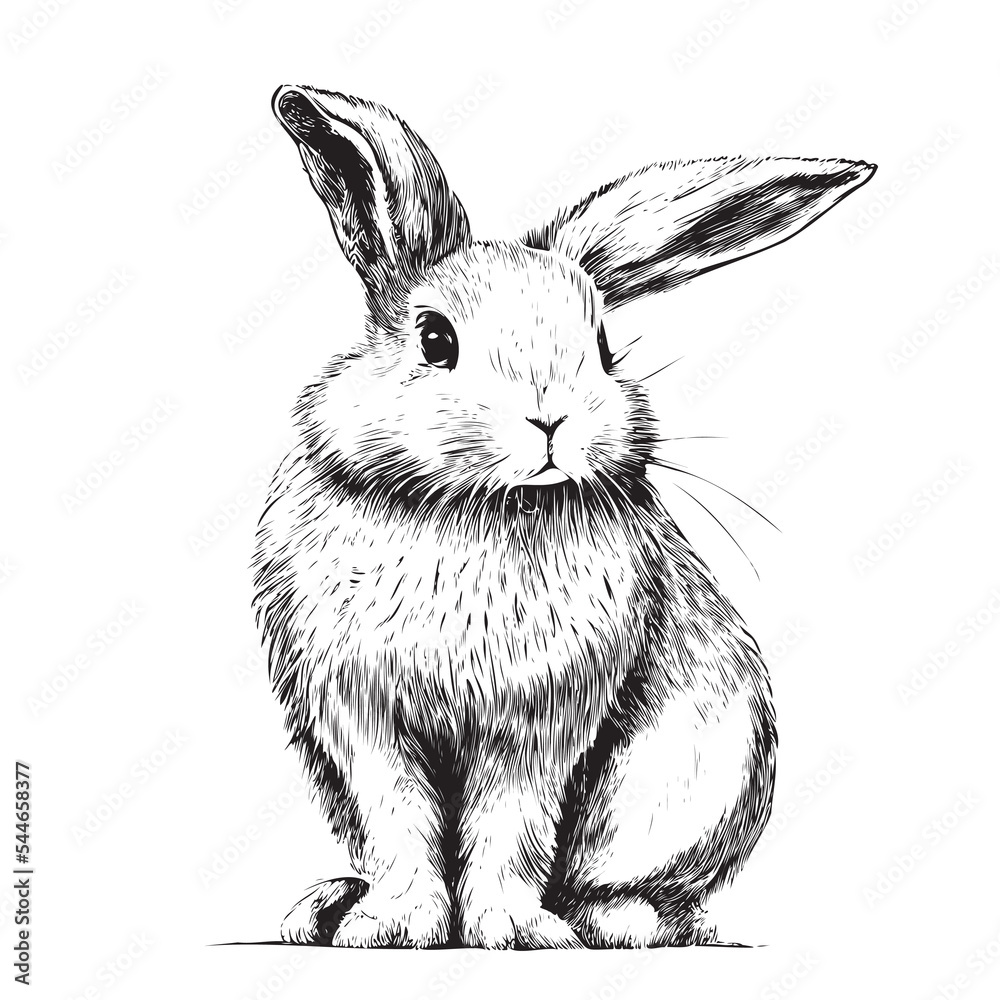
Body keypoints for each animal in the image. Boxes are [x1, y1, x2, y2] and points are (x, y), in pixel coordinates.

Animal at [252, 85, 874, 949]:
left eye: (604, 346)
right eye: (435, 339)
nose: (552, 421)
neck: (482, 507)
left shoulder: (542, 722)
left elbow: (510, 825)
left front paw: (515, 932)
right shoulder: (358, 713)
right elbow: (400, 823)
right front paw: (395, 927)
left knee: (644, 890)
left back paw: (610, 920)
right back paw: (323, 907)